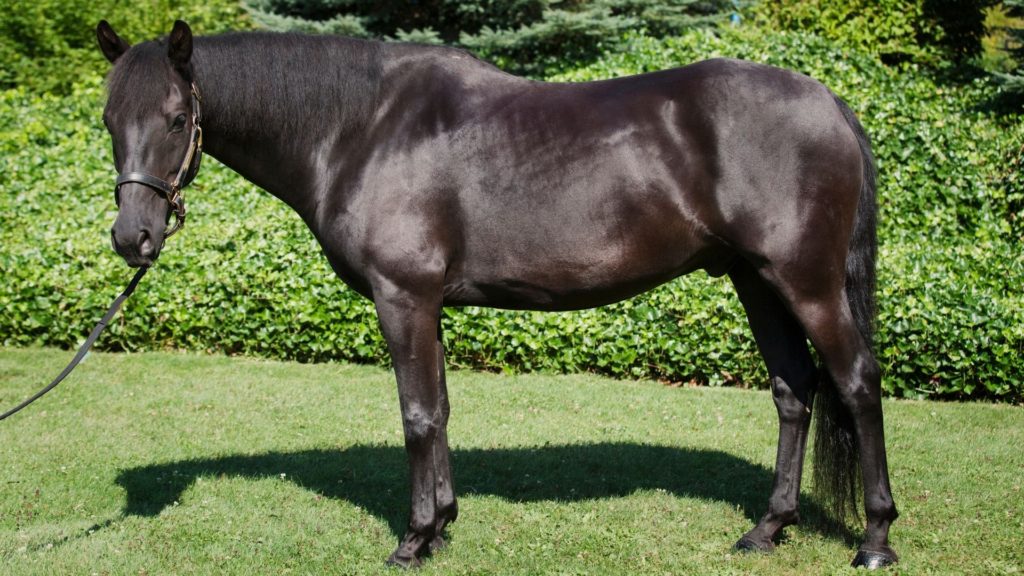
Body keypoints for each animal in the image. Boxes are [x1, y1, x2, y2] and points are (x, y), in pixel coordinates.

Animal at [95, 20, 898, 569]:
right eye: (107, 121)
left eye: (176, 118)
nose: (133, 237)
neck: (362, 128)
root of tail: (829, 102)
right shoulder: (429, 304)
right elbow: (442, 411)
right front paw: (444, 525)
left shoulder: (403, 297)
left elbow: (417, 416)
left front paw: (413, 540)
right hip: (756, 281)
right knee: (793, 390)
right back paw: (768, 529)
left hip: (806, 282)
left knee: (856, 383)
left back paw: (875, 539)